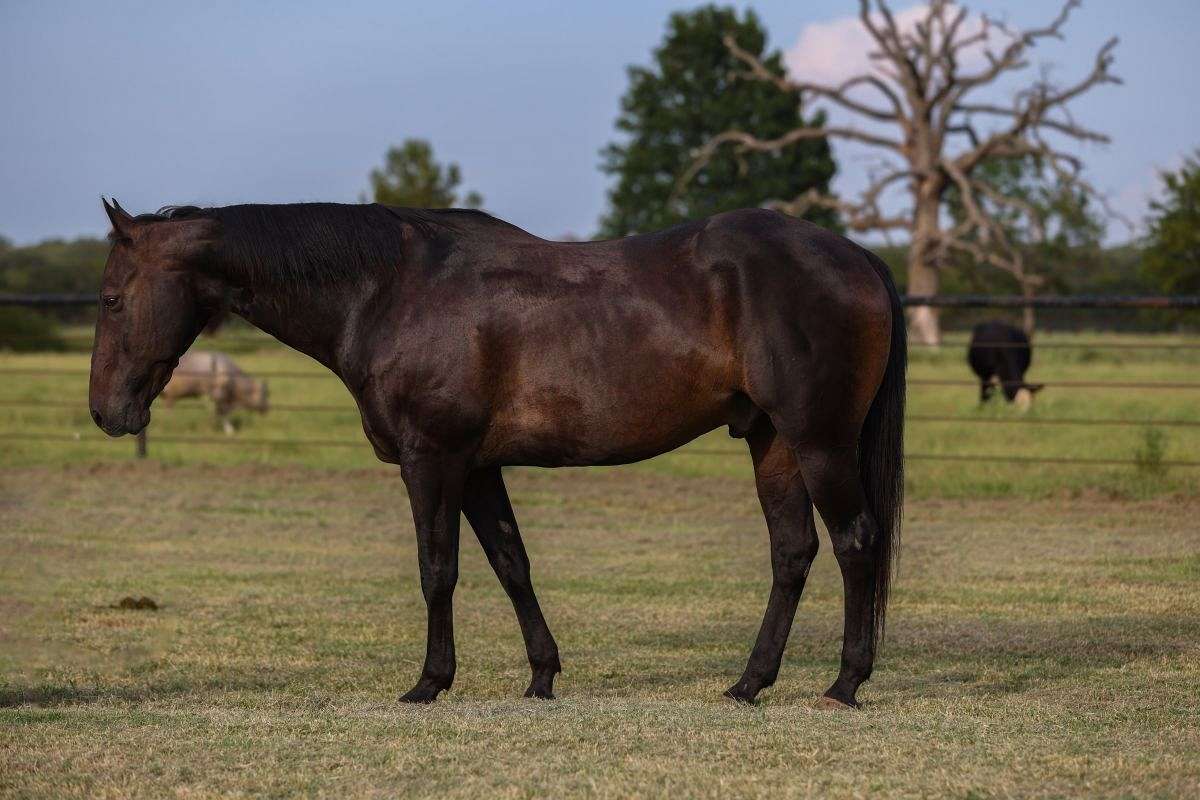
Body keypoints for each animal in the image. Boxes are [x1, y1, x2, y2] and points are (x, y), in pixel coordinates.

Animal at [88, 198, 905, 709]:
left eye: (111, 299)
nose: (105, 412)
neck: (388, 290)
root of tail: (855, 255)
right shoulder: (478, 467)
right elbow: (512, 563)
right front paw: (542, 677)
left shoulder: (432, 459)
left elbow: (437, 569)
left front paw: (429, 682)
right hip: (772, 443)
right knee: (793, 553)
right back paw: (749, 683)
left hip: (820, 442)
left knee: (855, 542)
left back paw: (845, 683)